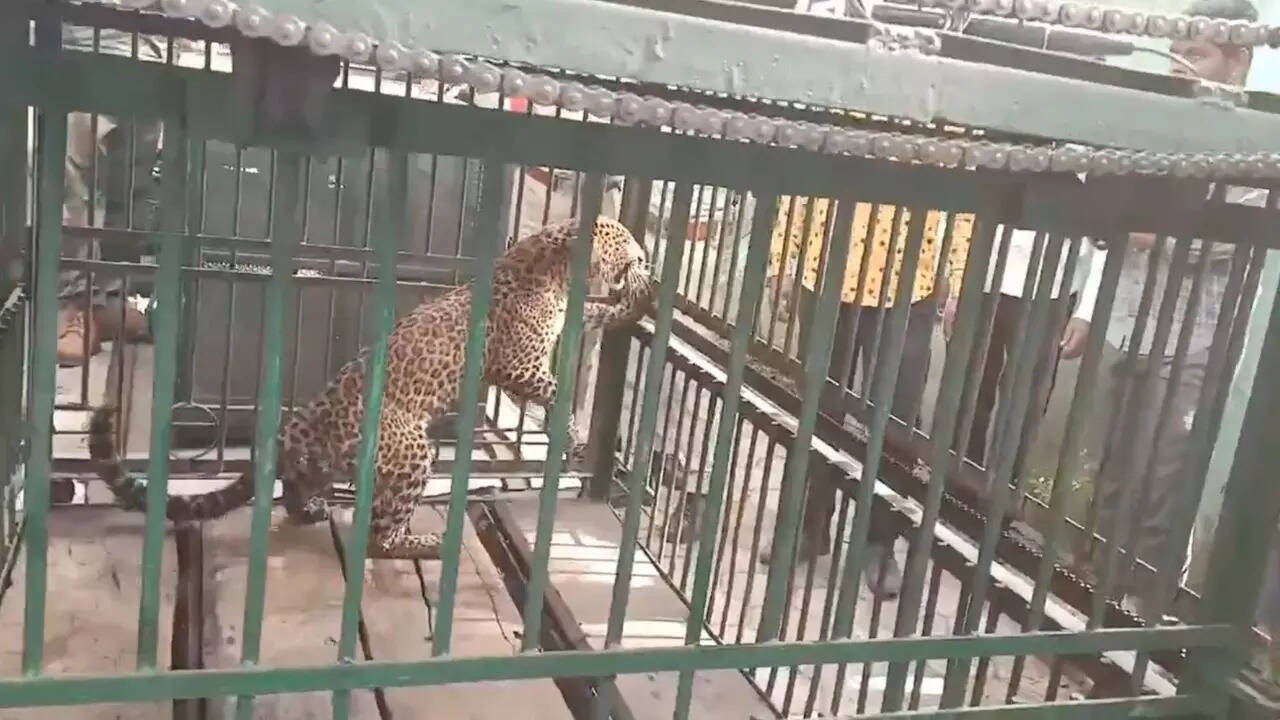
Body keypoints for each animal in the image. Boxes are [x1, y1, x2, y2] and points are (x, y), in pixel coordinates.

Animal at [87, 215, 656, 559]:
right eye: (630, 242)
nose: (647, 256)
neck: (553, 263)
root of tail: (303, 424)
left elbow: (597, 316)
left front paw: (632, 304)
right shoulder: (518, 366)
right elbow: (552, 391)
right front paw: (573, 430)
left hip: (333, 460)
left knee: (297, 487)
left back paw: (312, 509)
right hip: (409, 449)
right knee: (380, 539)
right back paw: (425, 543)